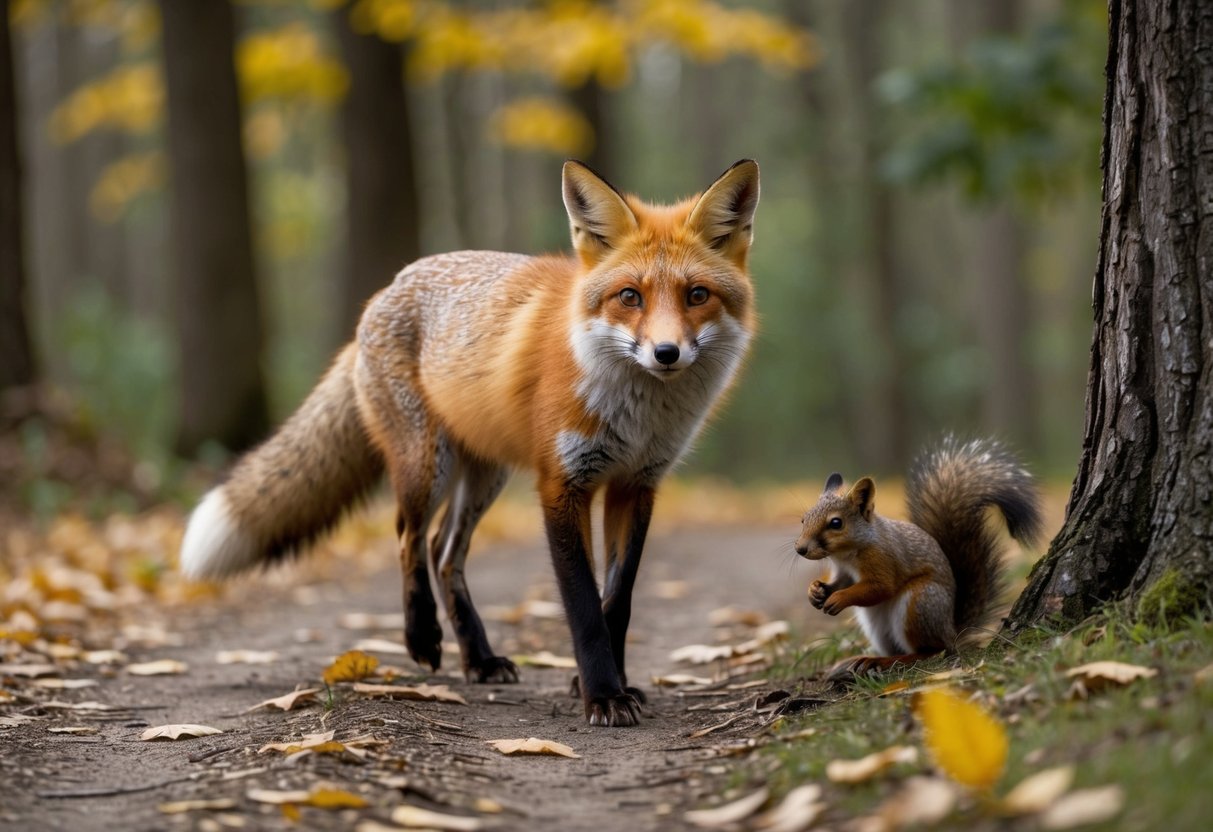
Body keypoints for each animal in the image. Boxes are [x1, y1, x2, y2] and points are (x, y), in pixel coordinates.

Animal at [179, 159, 760, 727]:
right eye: (630, 297)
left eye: (697, 296)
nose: (666, 353)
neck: (638, 415)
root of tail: (384, 292)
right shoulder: (561, 483)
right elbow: (583, 606)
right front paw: (601, 695)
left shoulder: (635, 485)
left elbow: (616, 603)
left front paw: (612, 684)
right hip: (426, 466)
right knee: (409, 539)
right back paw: (423, 638)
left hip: (486, 474)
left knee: (443, 552)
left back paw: (478, 658)